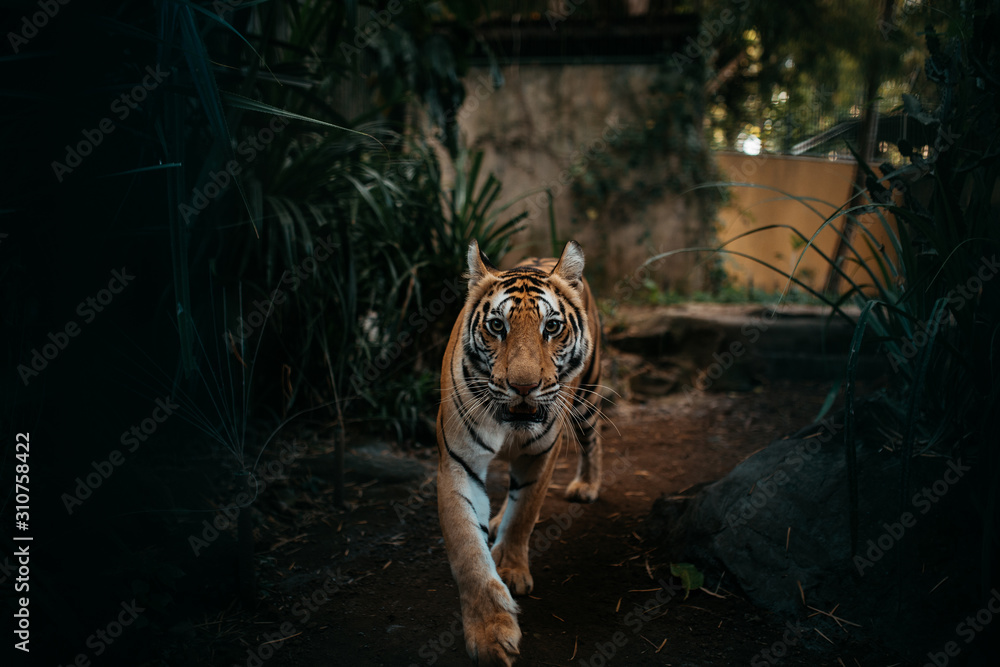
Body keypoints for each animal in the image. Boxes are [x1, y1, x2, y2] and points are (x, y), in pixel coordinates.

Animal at [436, 240, 603, 666]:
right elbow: (468, 552)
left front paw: (510, 569)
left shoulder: (541, 455)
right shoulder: (457, 463)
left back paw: (587, 484)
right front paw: (490, 635)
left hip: (588, 397)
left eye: (552, 327)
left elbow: (524, 511)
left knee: (594, 439)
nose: (523, 386)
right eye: (497, 326)